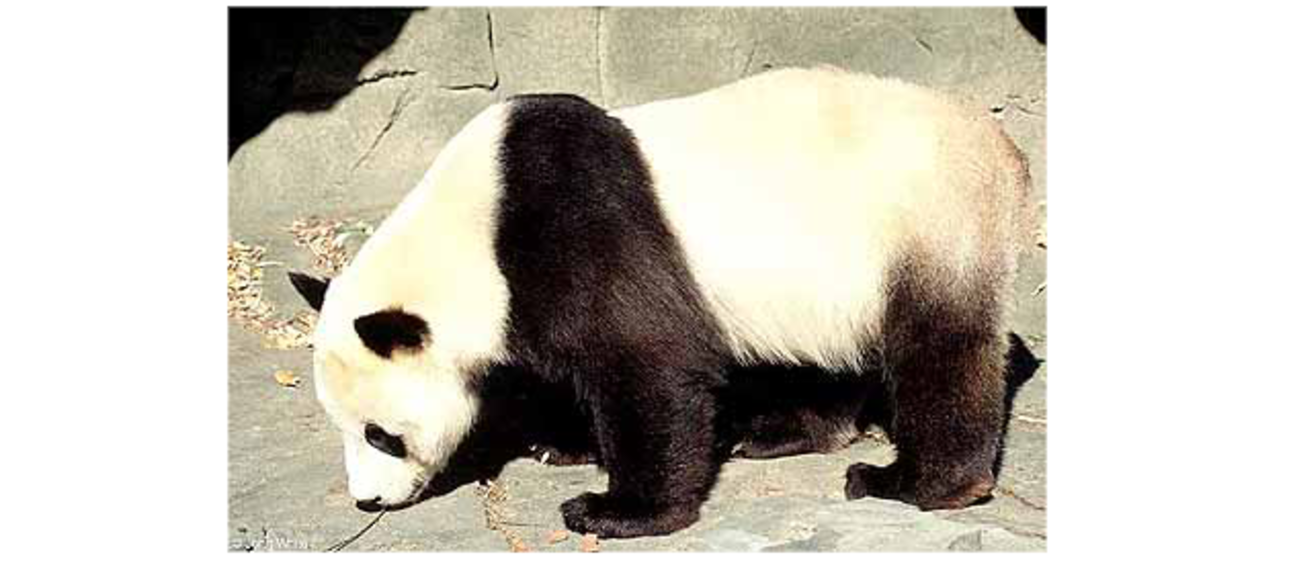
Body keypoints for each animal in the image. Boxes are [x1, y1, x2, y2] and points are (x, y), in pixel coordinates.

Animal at [287, 67, 1034, 539]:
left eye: (381, 433)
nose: (366, 499)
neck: (471, 233)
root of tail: (1006, 152)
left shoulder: (583, 228)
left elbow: (650, 364)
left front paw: (612, 509)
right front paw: (562, 442)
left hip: (925, 223)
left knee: (942, 350)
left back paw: (913, 482)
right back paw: (781, 430)